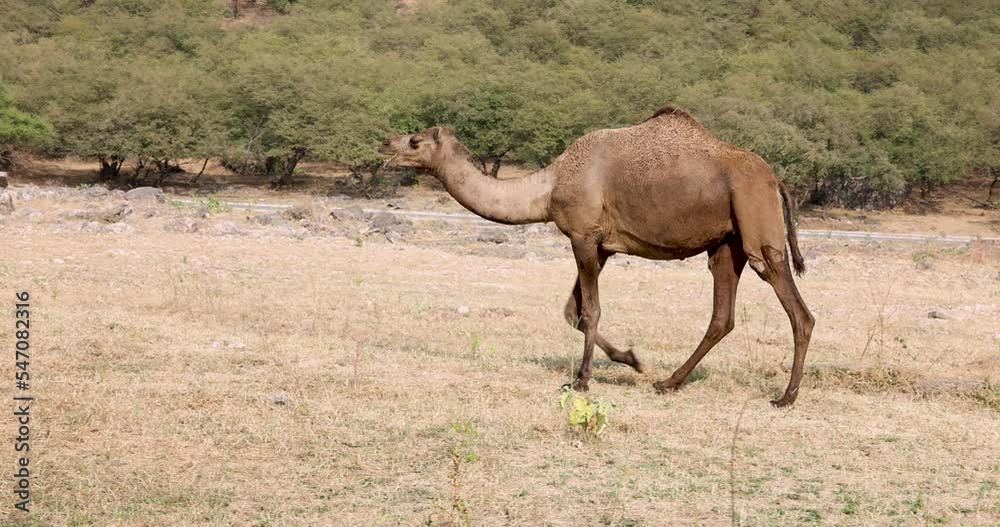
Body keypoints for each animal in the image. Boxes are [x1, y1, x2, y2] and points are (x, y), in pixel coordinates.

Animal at [380, 105, 815, 407]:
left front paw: (582, 379)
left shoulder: (583, 237)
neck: (550, 186)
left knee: (798, 311)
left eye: (415, 141)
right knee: (722, 314)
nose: (385, 144)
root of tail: (775, 179)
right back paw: (668, 382)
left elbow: (590, 310)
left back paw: (785, 396)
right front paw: (632, 359)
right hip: (727, 243)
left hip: (758, 228)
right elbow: (572, 312)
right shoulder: (602, 246)